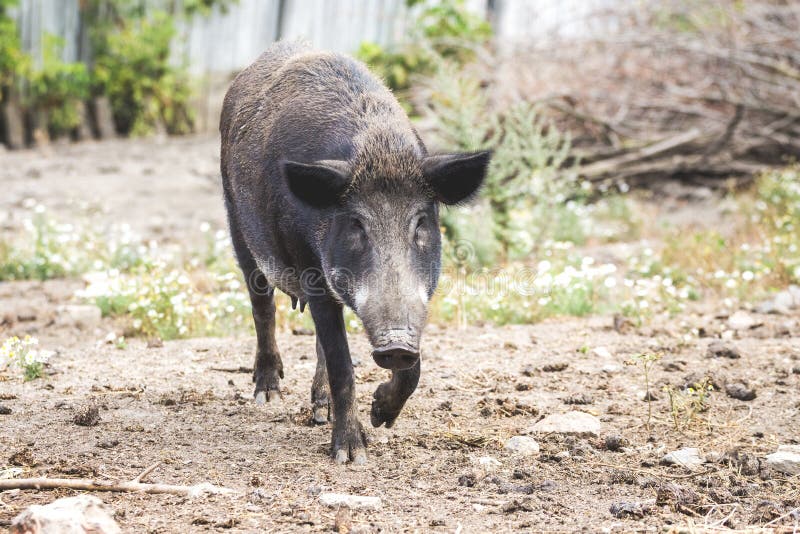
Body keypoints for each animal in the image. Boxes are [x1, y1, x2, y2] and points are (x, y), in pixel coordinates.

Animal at [219, 41, 490, 464]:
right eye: (357, 225)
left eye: (420, 222)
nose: (396, 343)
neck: (378, 149)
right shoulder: (310, 270)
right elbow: (342, 363)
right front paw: (352, 455)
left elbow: (410, 366)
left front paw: (381, 417)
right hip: (237, 225)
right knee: (262, 307)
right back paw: (268, 396)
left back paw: (320, 412)